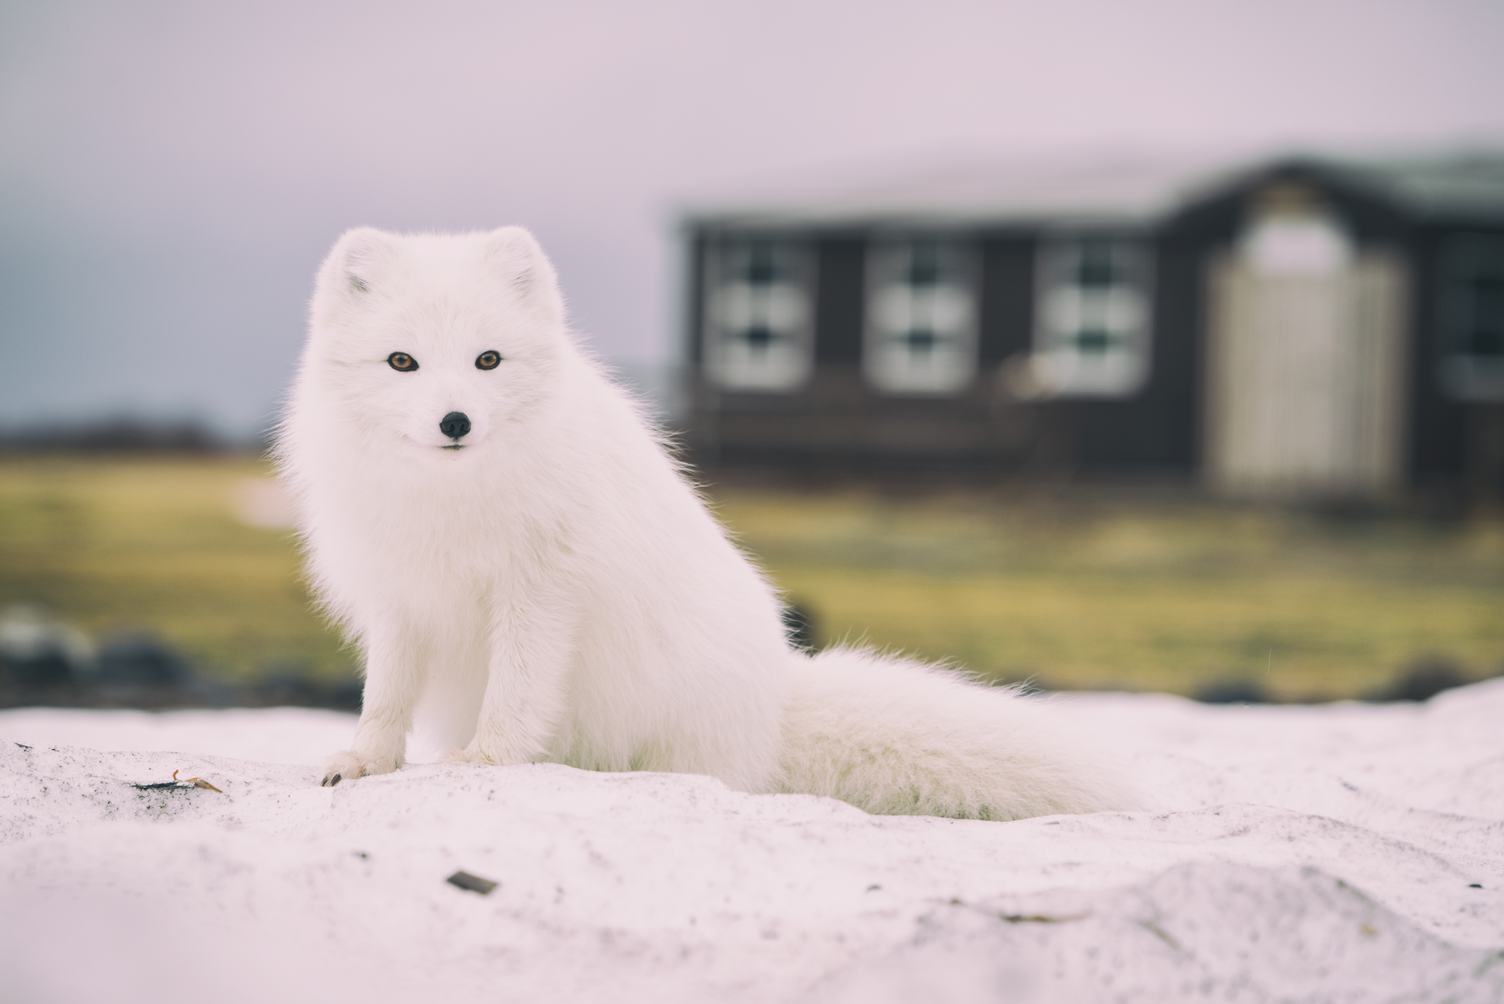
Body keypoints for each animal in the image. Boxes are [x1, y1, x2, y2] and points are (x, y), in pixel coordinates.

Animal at [275, 226, 1136, 820]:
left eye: (488, 361)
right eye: (402, 362)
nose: (455, 422)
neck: (449, 500)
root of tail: (775, 704)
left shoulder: (539, 591)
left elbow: (516, 692)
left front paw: (483, 762)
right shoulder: (397, 599)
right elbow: (383, 696)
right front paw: (363, 762)